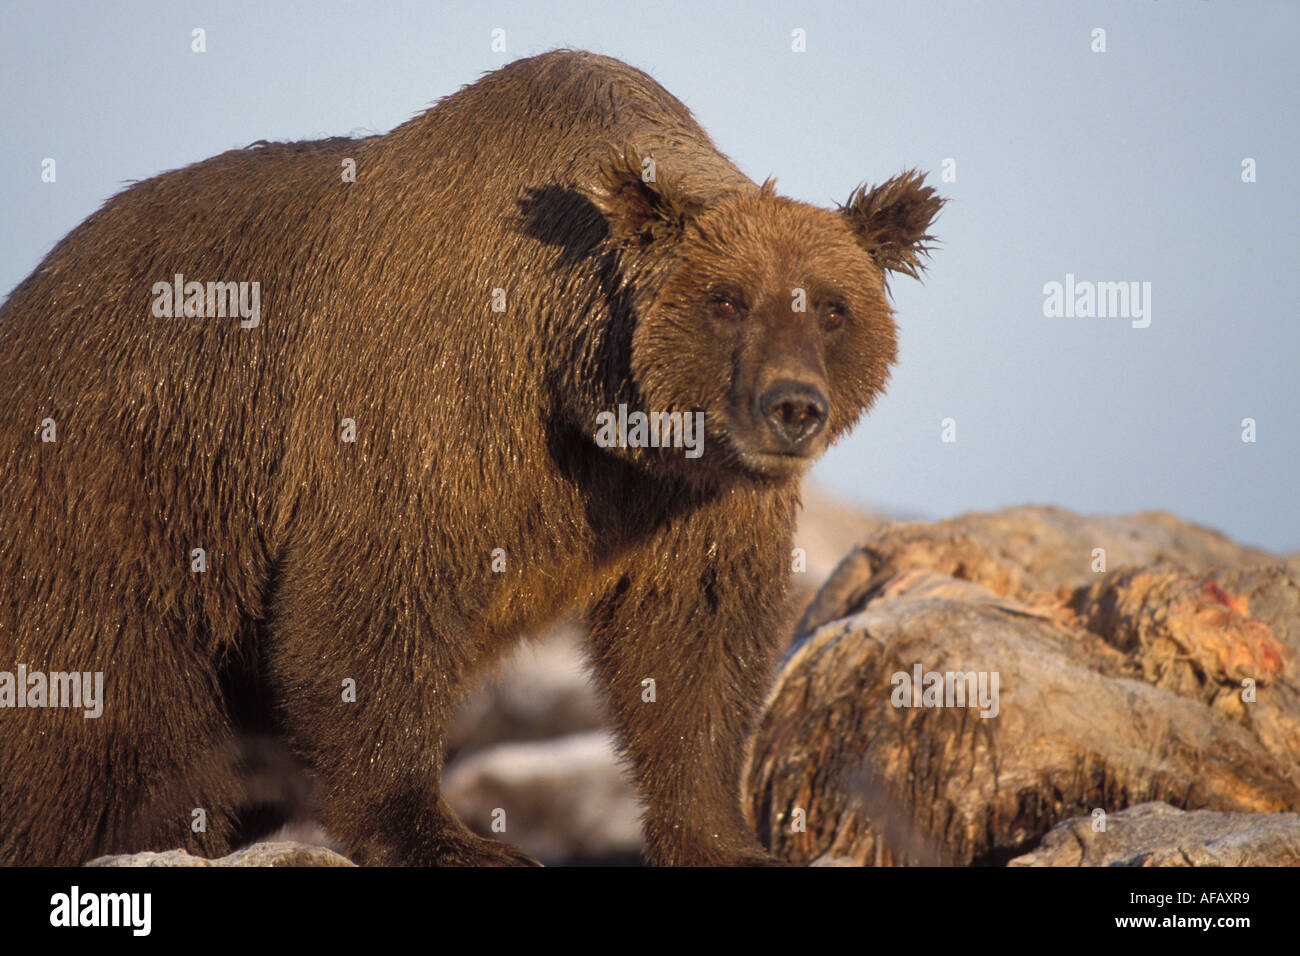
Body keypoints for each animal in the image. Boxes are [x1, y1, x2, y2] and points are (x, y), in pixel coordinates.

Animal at [0, 49, 942, 866]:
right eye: (727, 299)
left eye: (832, 307)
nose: (793, 408)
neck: (600, 407)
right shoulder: (434, 413)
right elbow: (370, 606)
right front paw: (450, 837)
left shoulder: (690, 494)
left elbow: (693, 641)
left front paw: (726, 839)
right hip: (124, 489)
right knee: (100, 717)